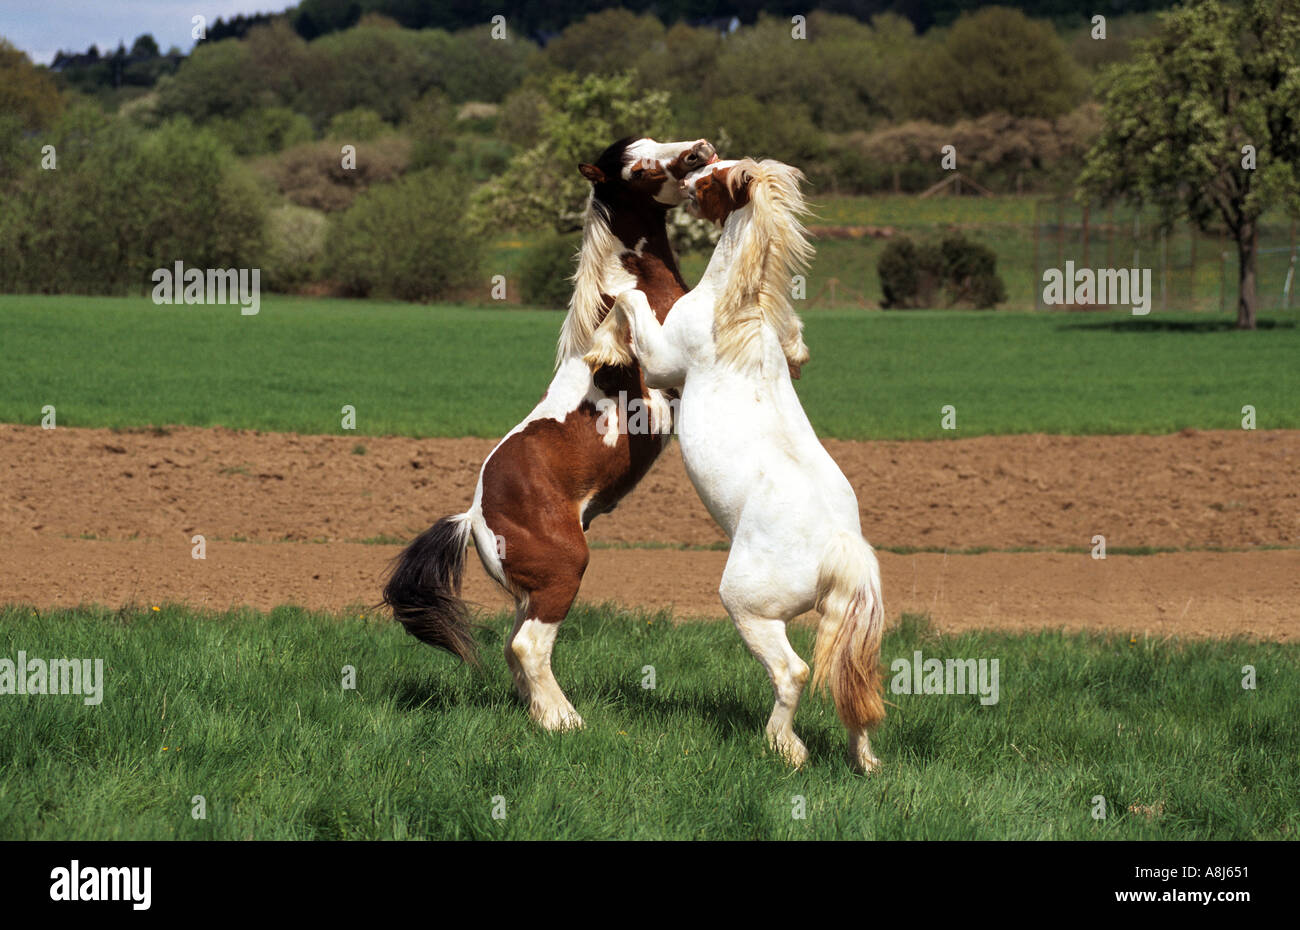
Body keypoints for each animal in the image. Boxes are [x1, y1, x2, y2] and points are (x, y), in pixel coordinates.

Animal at [383, 137, 717, 732]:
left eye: (657, 140)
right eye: (638, 166)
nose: (699, 152)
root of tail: (472, 518)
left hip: (533, 591)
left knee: (515, 646)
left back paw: (541, 714)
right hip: (564, 572)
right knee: (527, 647)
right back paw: (566, 722)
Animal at [584, 158, 886, 771]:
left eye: (712, 180)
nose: (690, 172)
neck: (736, 310)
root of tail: (840, 549)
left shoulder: (663, 362)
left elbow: (630, 303)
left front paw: (603, 342)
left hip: (746, 607)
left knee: (794, 673)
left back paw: (785, 749)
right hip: (836, 619)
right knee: (851, 684)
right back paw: (865, 762)